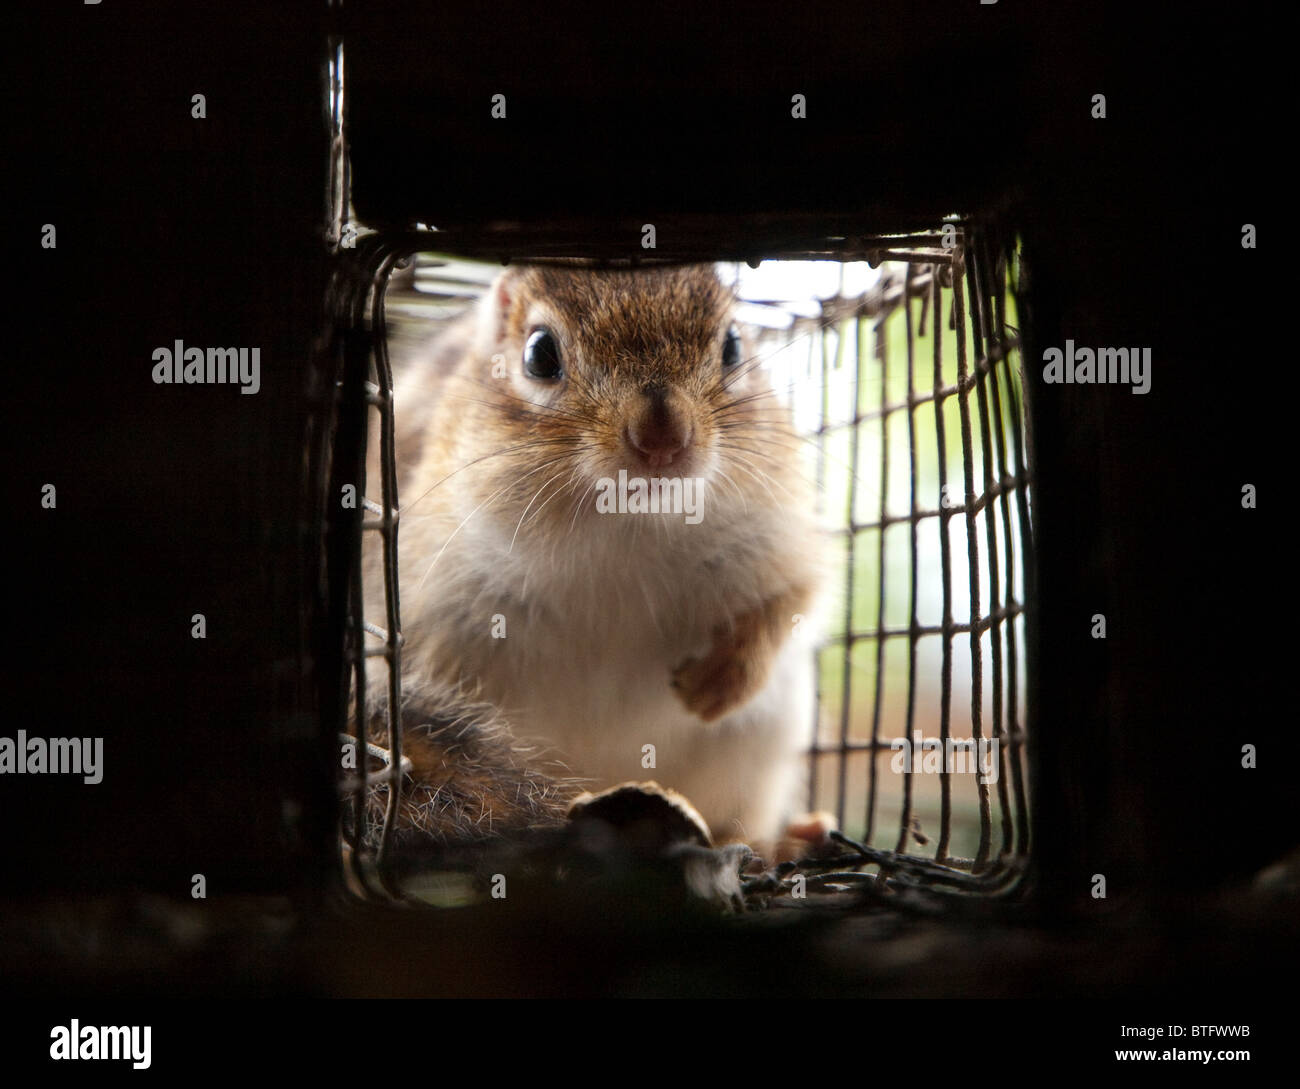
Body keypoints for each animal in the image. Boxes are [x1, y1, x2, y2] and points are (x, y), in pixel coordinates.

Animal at [357, 262, 828, 857]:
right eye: (539, 354)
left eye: (734, 346)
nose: (662, 439)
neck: (627, 529)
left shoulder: (783, 538)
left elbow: (787, 605)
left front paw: (716, 685)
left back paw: (774, 841)